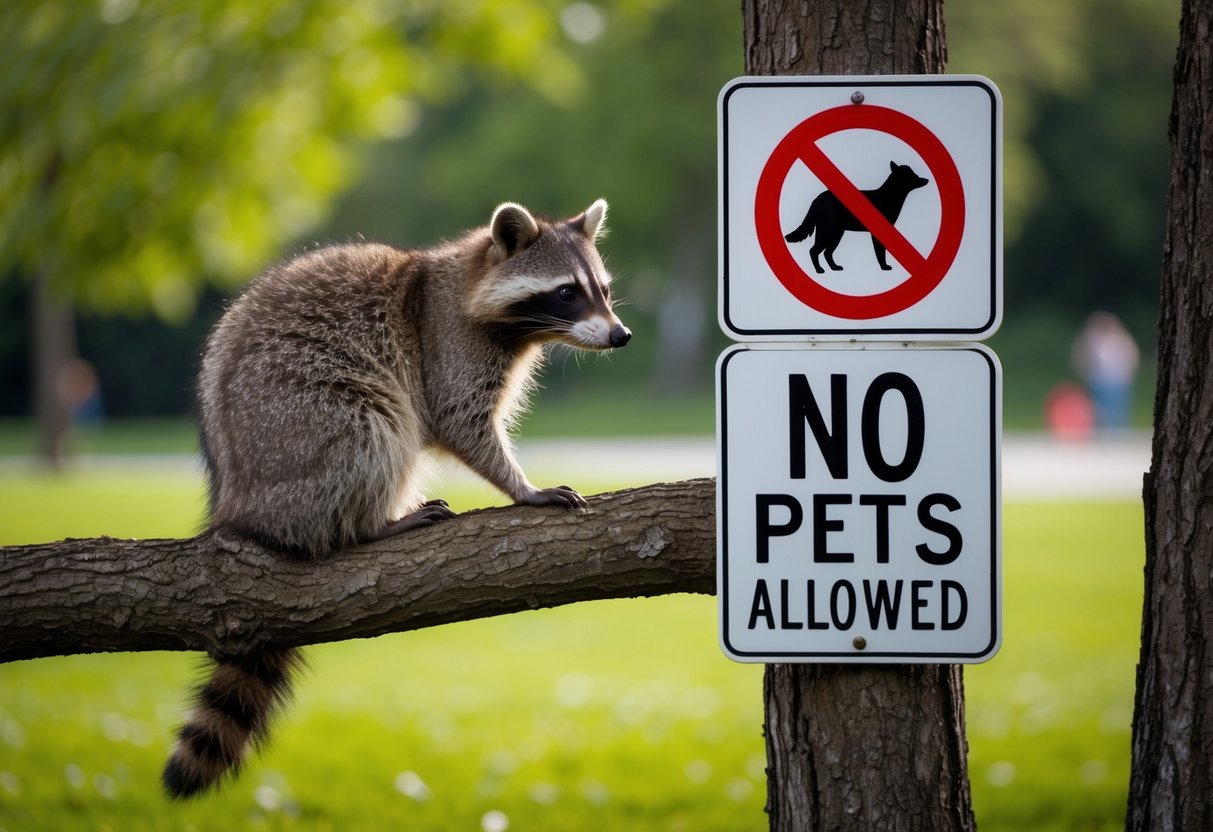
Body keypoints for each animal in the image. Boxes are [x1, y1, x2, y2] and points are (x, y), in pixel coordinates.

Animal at [163, 199, 629, 798]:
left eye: (604, 289)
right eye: (567, 292)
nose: (621, 335)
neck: (466, 279)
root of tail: (238, 505)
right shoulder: (447, 344)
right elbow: (460, 420)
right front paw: (522, 487)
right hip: (305, 419)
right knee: (377, 430)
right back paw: (373, 523)